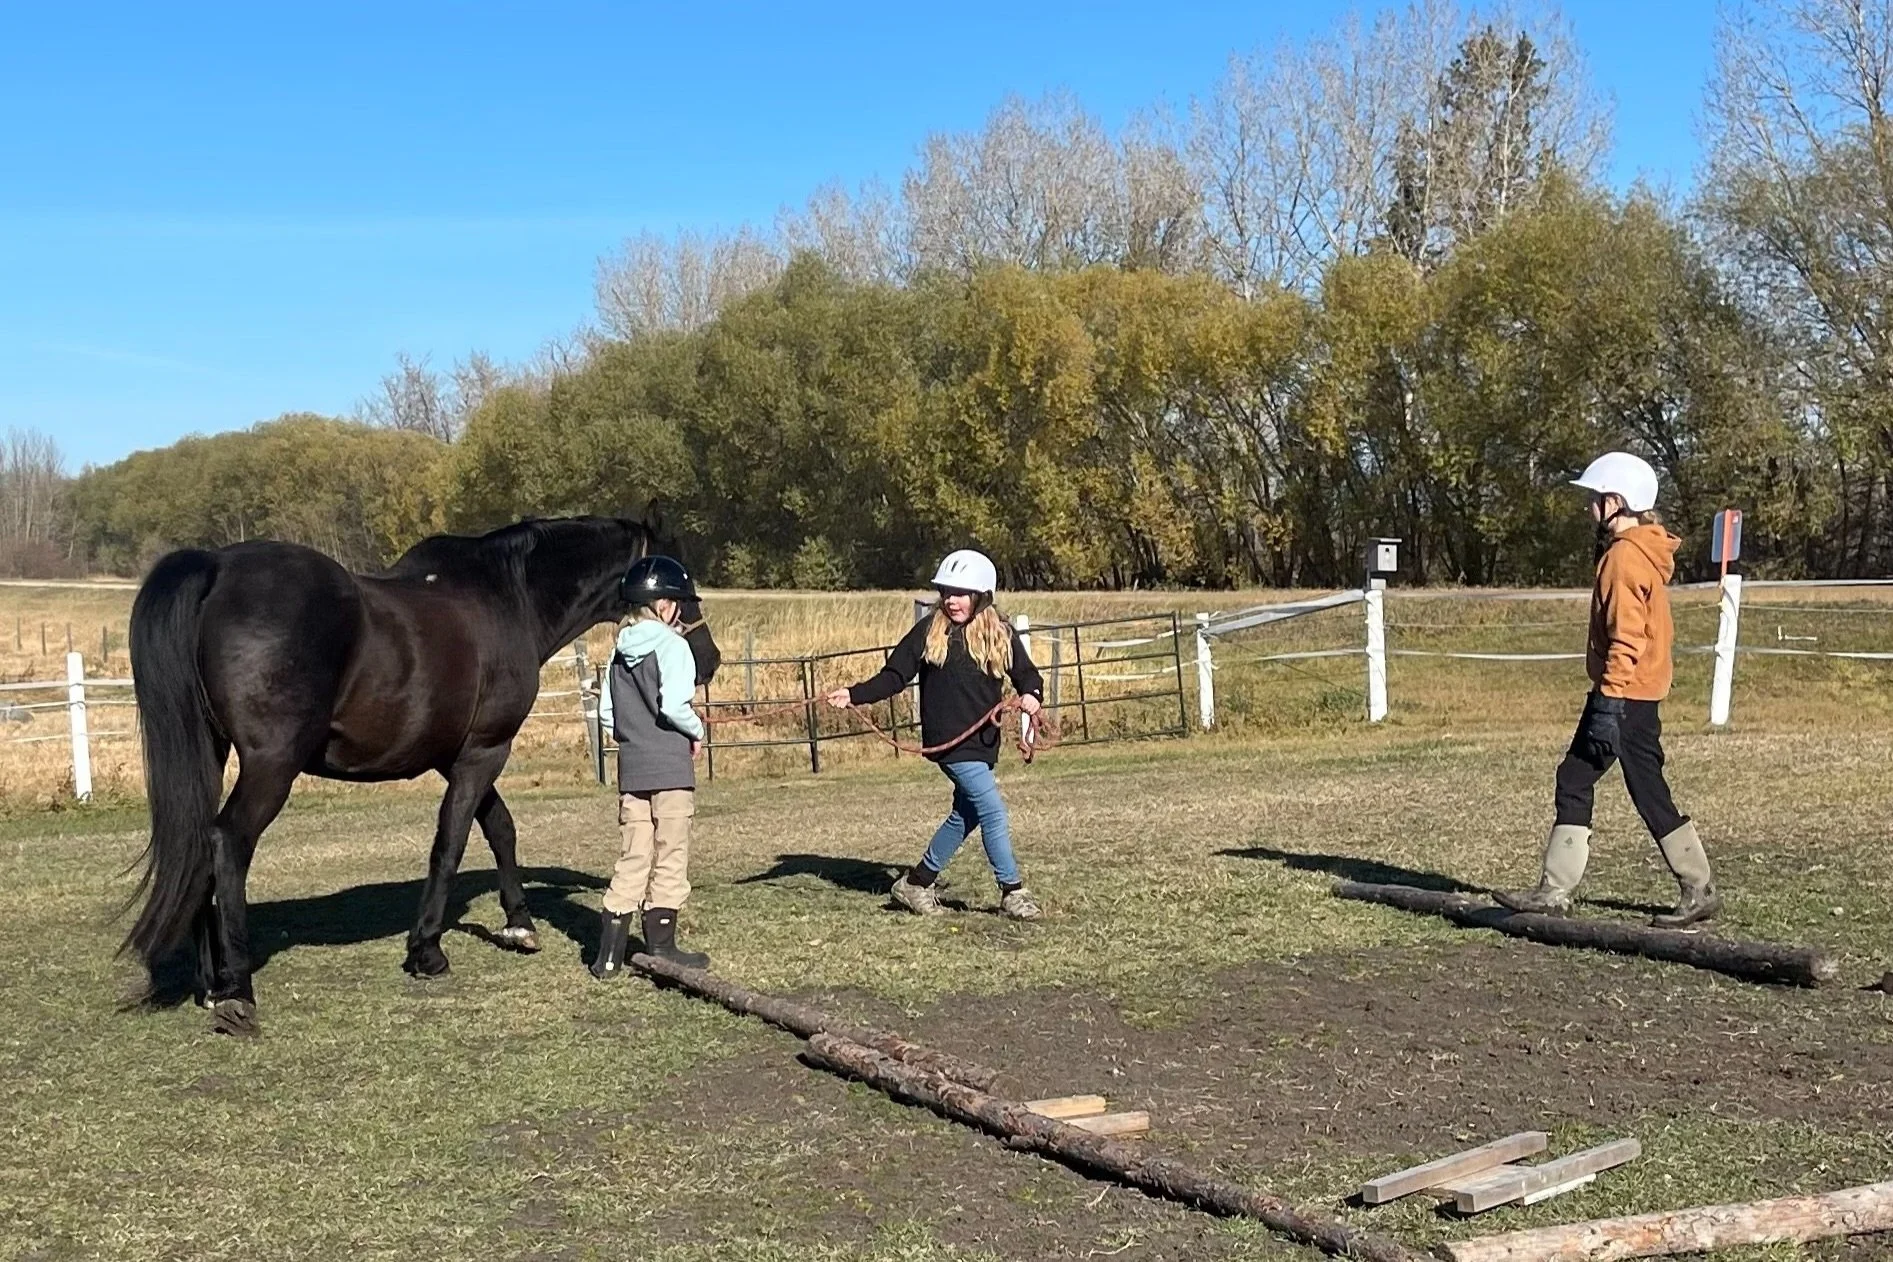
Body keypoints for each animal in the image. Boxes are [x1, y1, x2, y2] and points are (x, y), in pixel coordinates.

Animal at [121, 515, 720, 1034]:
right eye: (685, 582)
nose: (709, 660)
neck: (508, 597)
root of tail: (217, 566)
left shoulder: (460, 754)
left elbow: (500, 828)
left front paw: (518, 923)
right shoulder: (484, 751)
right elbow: (451, 842)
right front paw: (427, 949)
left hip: (213, 753)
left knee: (199, 841)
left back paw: (209, 983)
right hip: (272, 766)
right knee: (228, 842)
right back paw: (238, 990)